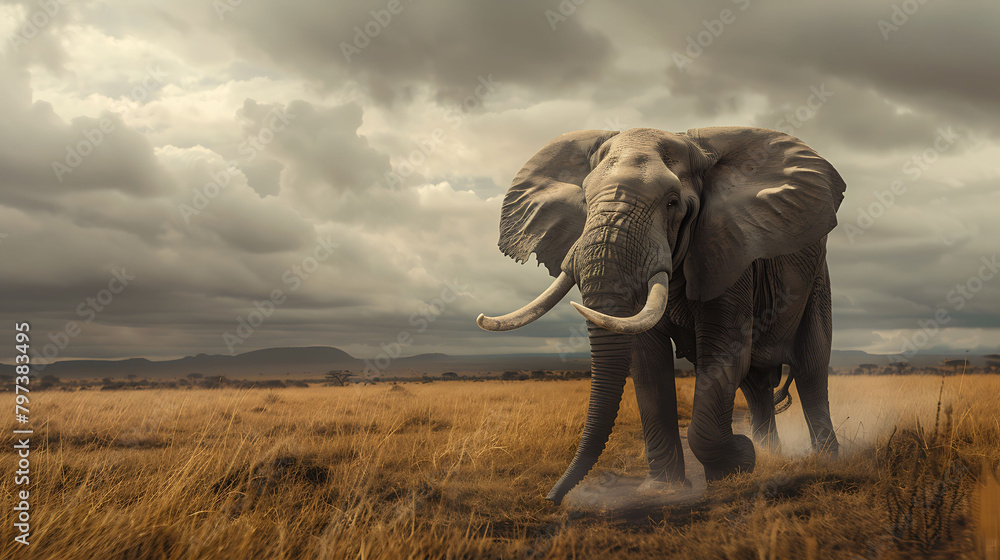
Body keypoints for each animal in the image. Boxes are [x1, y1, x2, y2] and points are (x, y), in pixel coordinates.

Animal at [477, 127, 846, 506]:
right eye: (585, 201)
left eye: (672, 203)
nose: (552, 499)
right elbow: (647, 363)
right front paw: (664, 489)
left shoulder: (729, 253)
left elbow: (724, 353)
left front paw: (738, 463)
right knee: (755, 385)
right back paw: (770, 453)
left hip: (818, 281)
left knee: (811, 367)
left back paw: (823, 460)